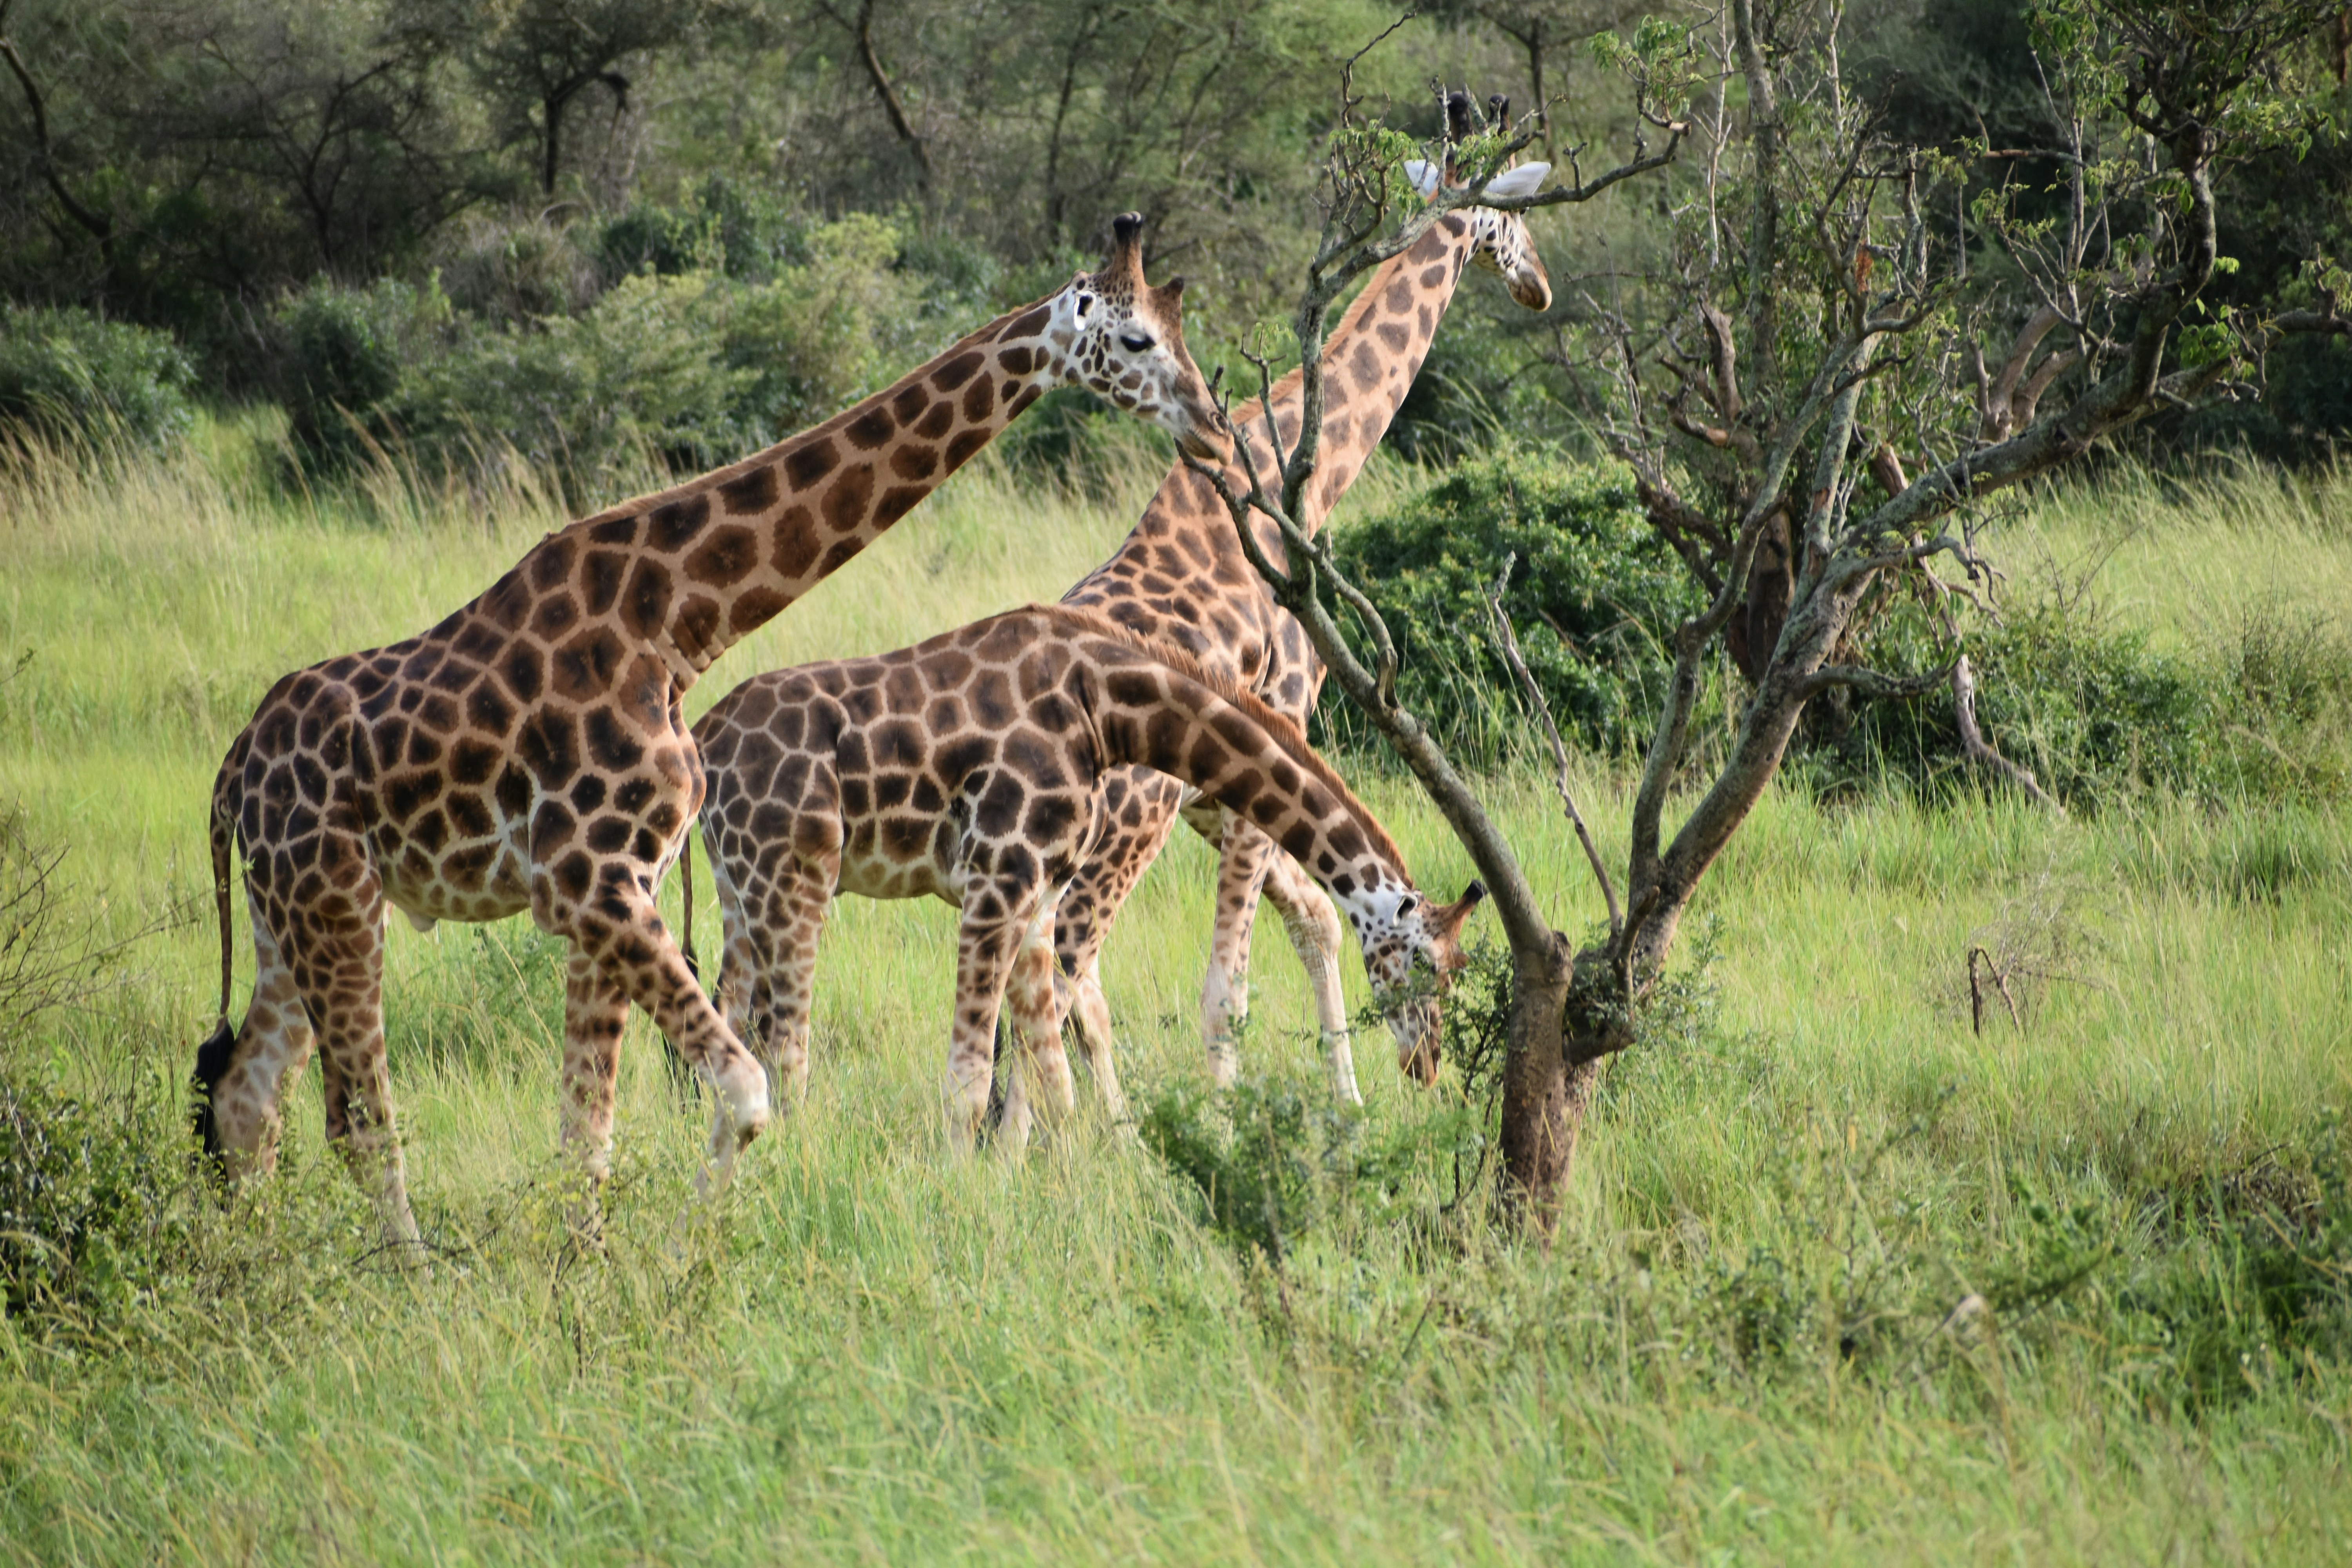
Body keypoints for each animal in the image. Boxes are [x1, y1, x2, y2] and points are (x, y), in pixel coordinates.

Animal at [191, 214, 1228, 1252]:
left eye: (1183, 335)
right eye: (1137, 339)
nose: (1214, 428)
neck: (676, 625)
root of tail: (234, 768)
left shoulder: (613, 888)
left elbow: (588, 1128)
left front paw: (589, 1268)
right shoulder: (592, 883)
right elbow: (741, 1089)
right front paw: (682, 1254)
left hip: (290, 914)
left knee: (246, 1099)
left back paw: (250, 1267)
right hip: (335, 899)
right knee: (354, 1119)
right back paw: (409, 1273)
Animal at [689, 602, 1485, 1146]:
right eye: (1427, 967)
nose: (1426, 1066)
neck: (1105, 706)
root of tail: (702, 737)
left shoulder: (1038, 898)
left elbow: (1054, 1075)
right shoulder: (996, 886)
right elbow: (973, 1080)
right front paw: (960, 1198)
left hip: (736, 888)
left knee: (729, 1036)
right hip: (792, 879)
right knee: (787, 1053)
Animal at [1050, 128, 1554, 1110]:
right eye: (1512, 216)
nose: (1538, 287)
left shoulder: (1218, 798)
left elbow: (1319, 916)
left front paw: (1346, 1107)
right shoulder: (1272, 726)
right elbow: (1229, 991)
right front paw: (1225, 1120)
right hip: (1117, 837)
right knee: (1067, 971)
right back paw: (1099, 1133)